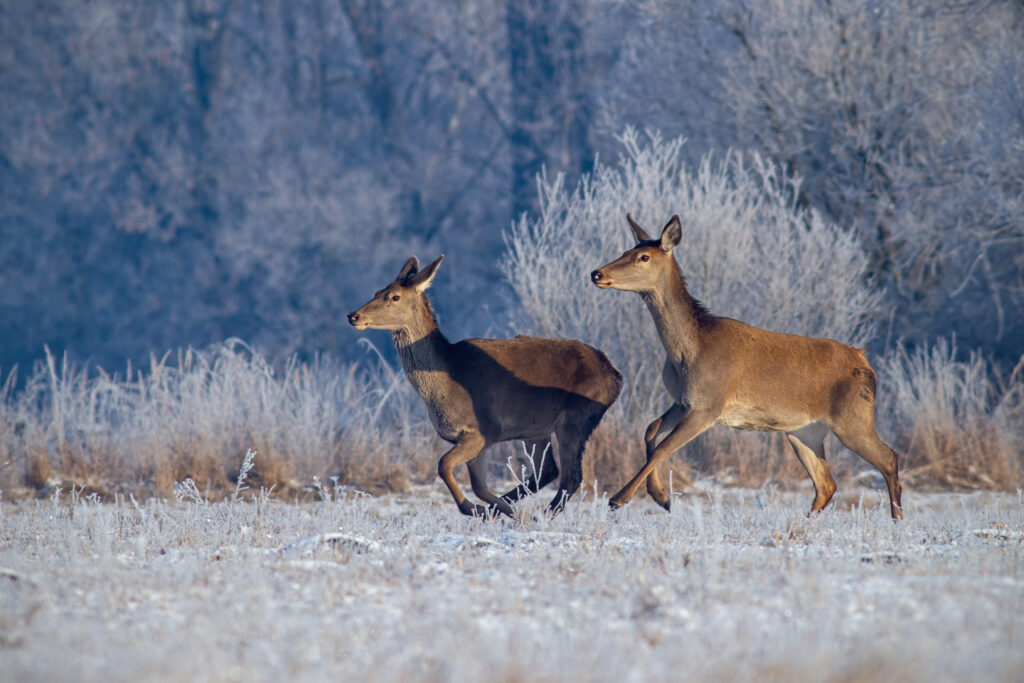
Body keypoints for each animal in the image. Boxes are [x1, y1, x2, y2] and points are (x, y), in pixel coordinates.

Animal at [348, 255, 623, 518]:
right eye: (376, 291)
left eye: (394, 296)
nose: (353, 315)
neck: (445, 382)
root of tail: (616, 375)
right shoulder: (472, 438)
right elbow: (478, 485)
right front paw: (493, 511)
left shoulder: (484, 429)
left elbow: (444, 465)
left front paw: (480, 510)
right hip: (536, 427)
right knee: (548, 471)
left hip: (576, 417)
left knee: (571, 477)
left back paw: (539, 516)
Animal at [590, 214, 903, 520]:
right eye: (625, 251)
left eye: (643, 257)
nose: (597, 273)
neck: (687, 352)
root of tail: (864, 361)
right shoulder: (683, 400)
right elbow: (650, 430)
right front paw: (660, 497)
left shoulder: (709, 404)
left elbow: (663, 449)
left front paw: (620, 498)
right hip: (805, 430)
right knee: (826, 483)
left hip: (852, 418)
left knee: (888, 457)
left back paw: (896, 520)